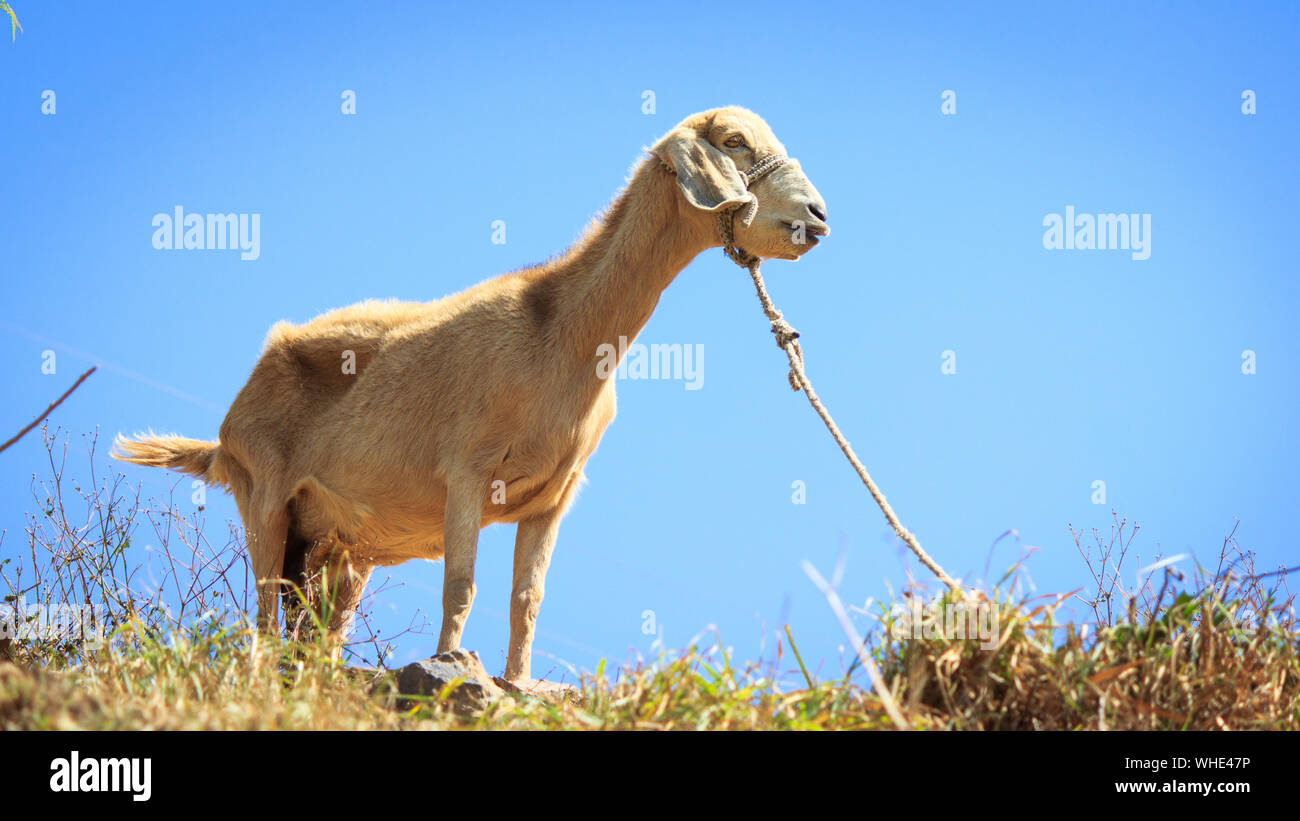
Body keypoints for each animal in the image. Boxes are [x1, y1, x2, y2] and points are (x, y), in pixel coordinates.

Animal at [113, 106, 830, 681]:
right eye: (734, 140)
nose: (817, 216)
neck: (562, 331)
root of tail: (222, 435)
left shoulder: (555, 498)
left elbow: (527, 601)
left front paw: (516, 681)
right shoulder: (467, 473)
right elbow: (461, 586)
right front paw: (451, 664)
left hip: (339, 545)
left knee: (319, 629)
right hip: (263, 499)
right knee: (263, 614)